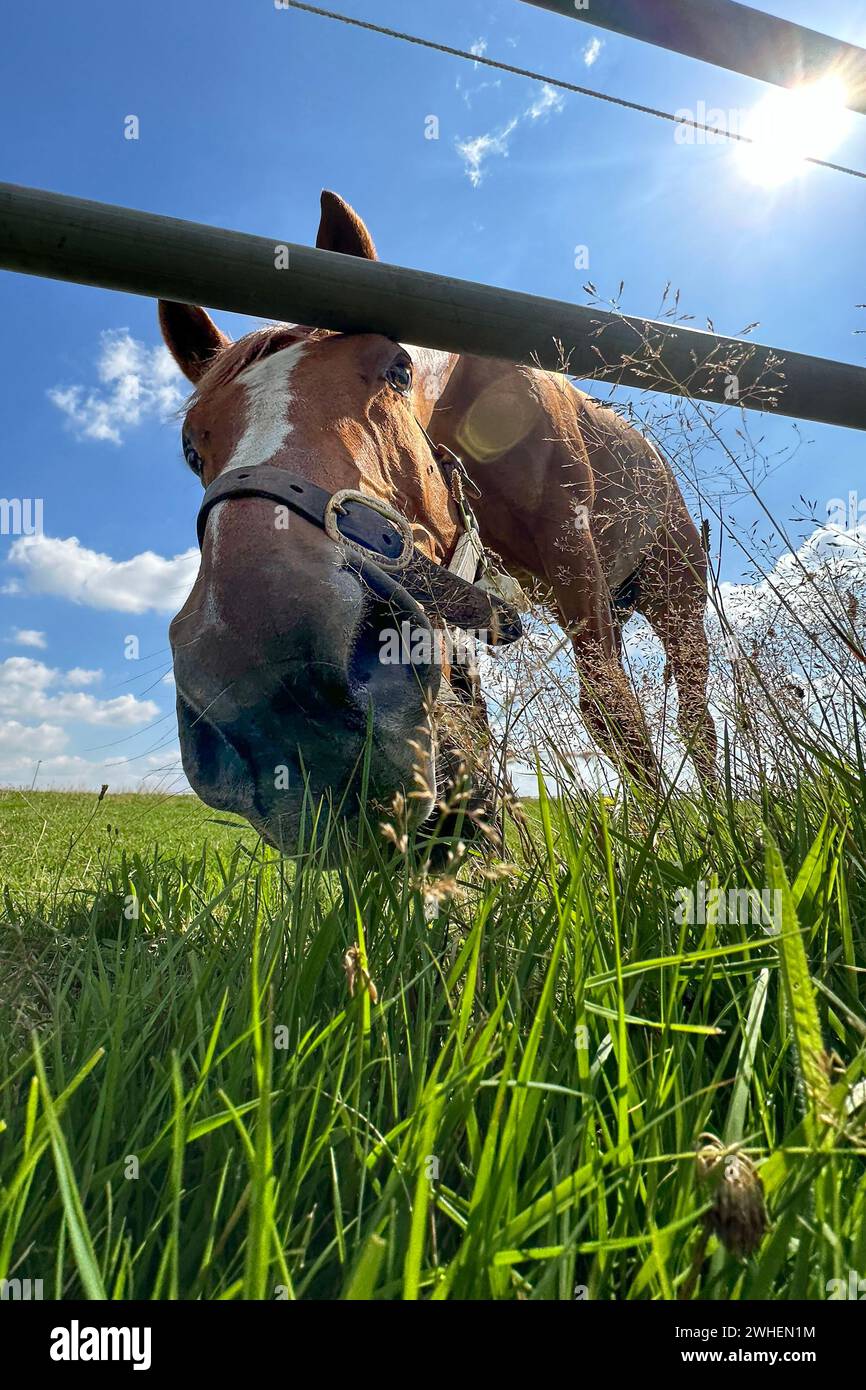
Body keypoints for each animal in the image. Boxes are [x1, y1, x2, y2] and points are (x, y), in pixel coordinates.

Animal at [161, 190, 716, 850]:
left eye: (397, 369)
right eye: (190, 448)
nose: (259, 671)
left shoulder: (570, 555)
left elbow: (613, 715)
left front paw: (670, 838)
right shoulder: (449, 584)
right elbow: (468, 720)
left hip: (674, 598)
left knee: (695, 717)